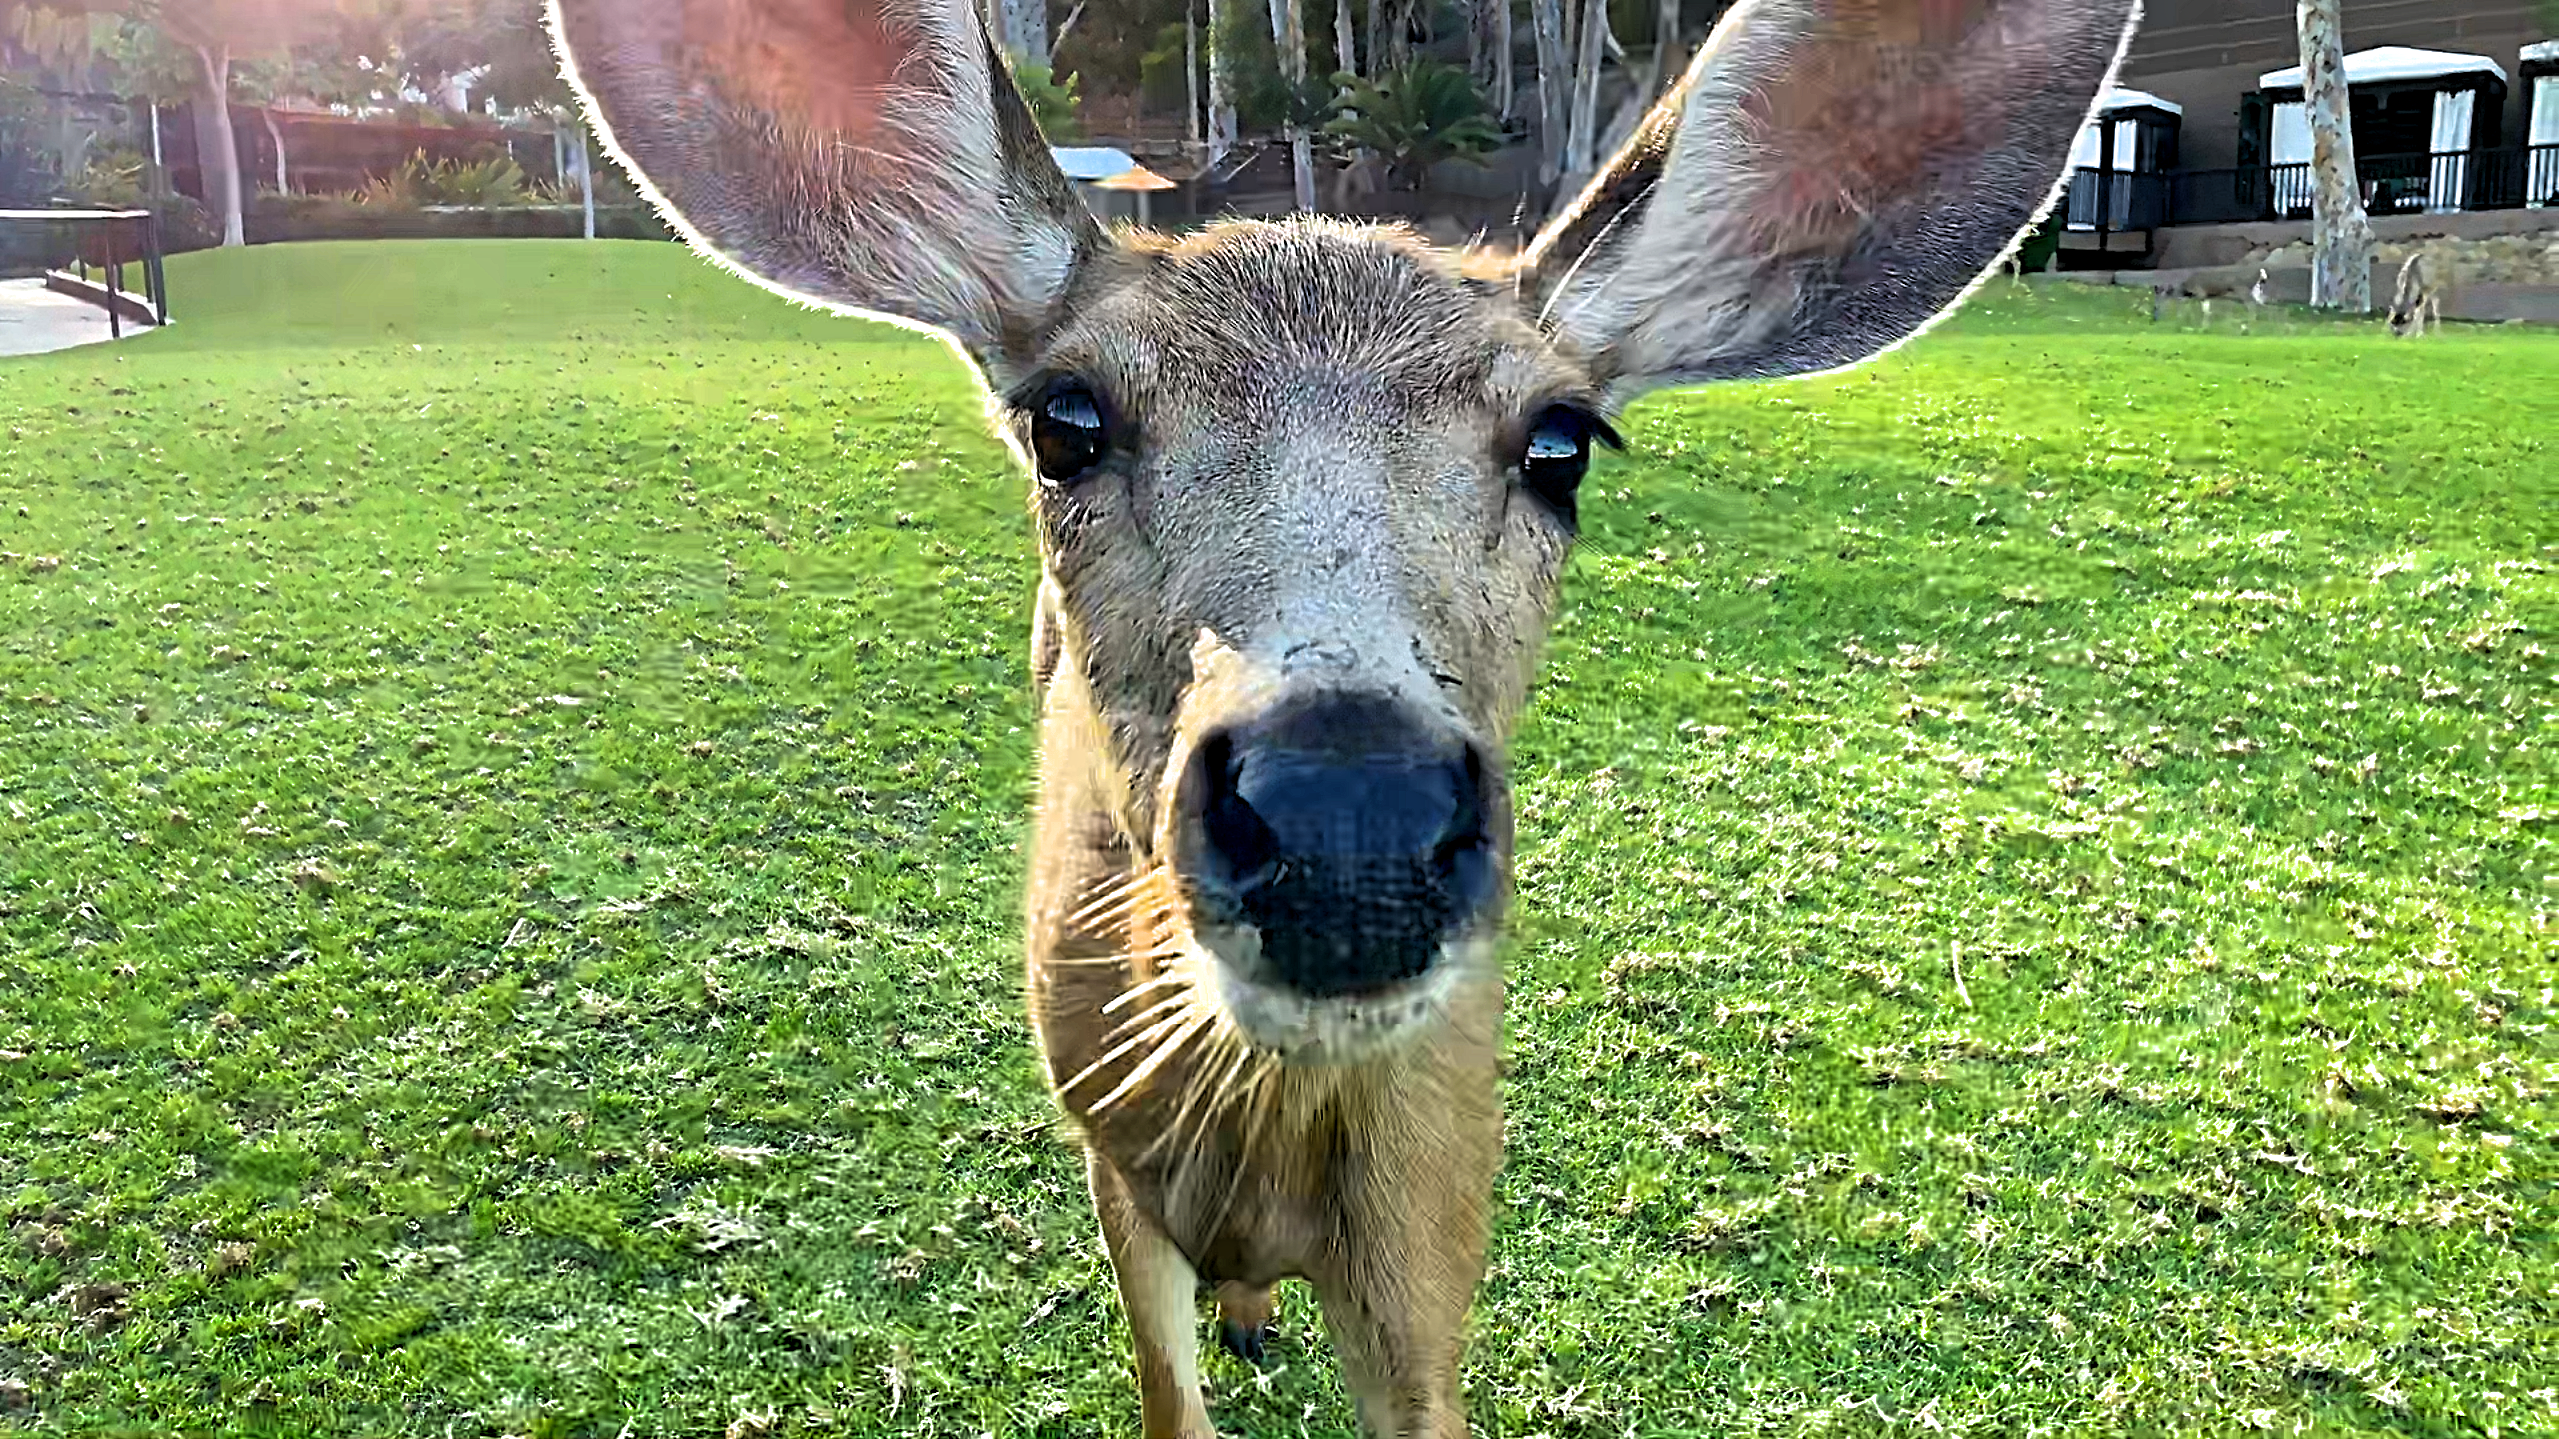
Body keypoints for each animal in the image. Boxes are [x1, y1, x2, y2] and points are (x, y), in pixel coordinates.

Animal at [545, 0, 2142, 1432]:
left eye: (1562, 441)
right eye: (1065, 419)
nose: (1347, 817)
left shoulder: (1436, 1208)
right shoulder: (1106, 1154)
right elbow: (1164, 1390)